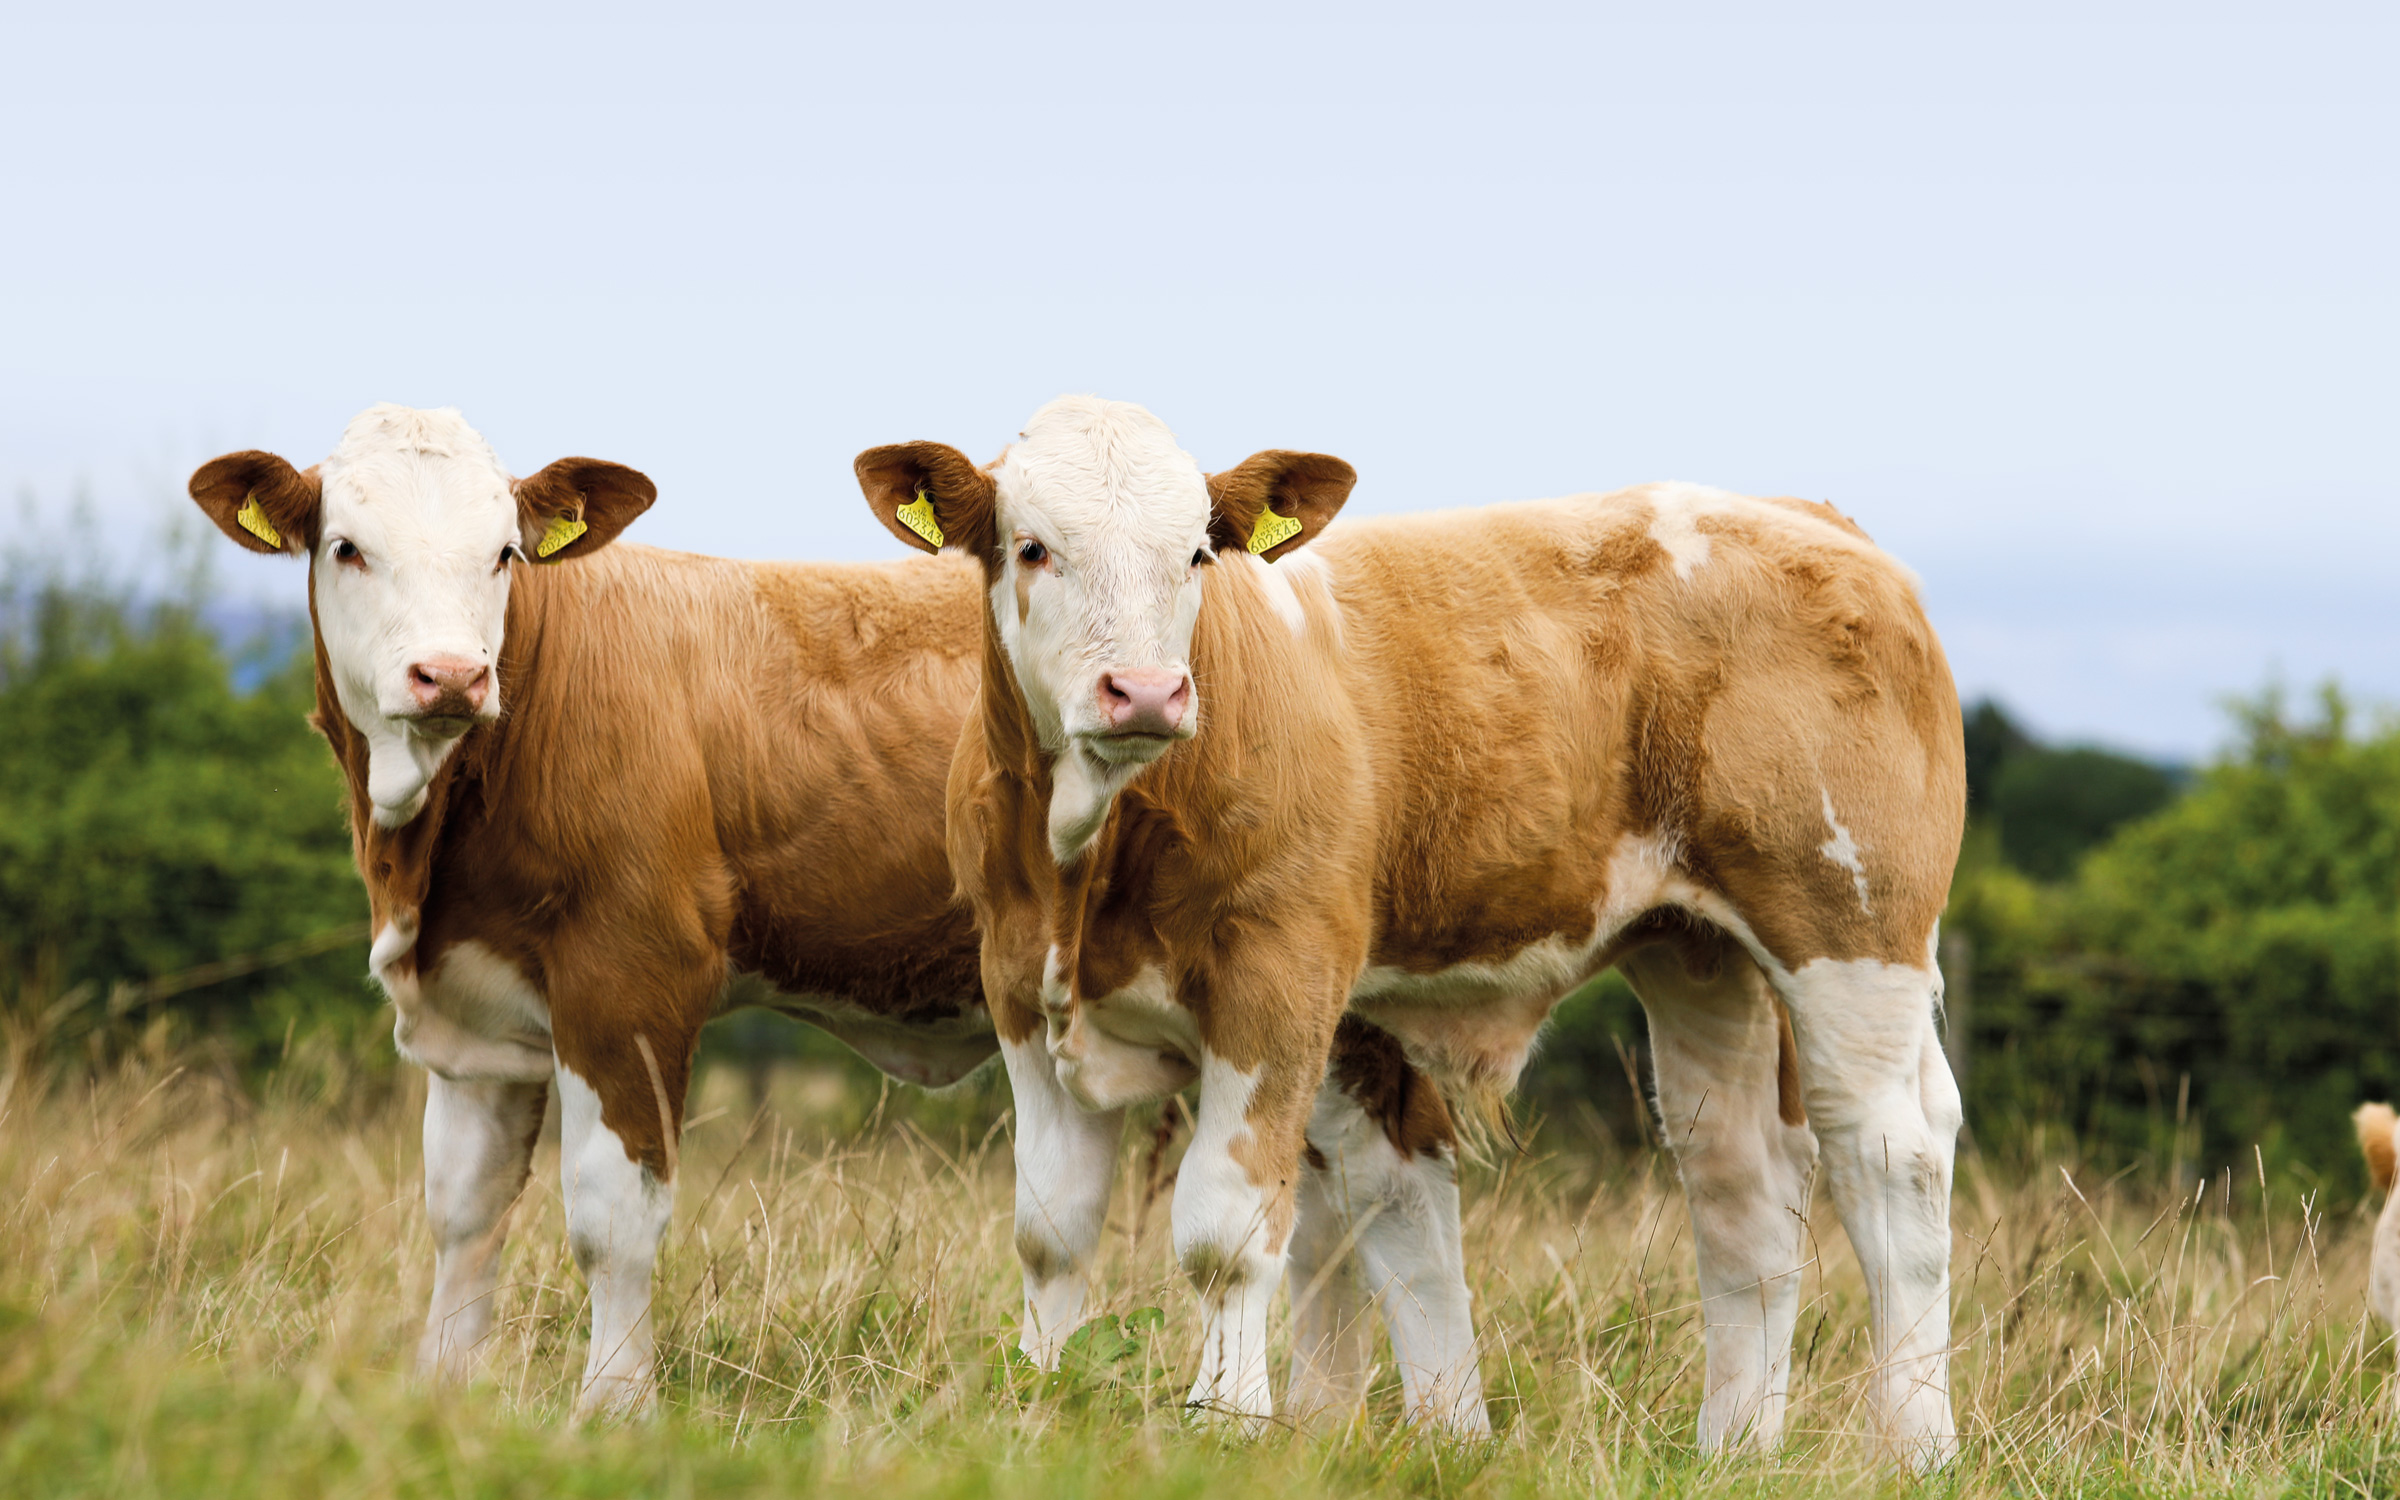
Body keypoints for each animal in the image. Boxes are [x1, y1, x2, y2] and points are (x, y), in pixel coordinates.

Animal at [186, 403, 1483, 1428]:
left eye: (503, 552)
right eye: (347, 547)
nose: (451, 675)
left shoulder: (629, 982)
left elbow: (611, 1218)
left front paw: (614, 1409)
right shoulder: (477, 1009)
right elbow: (462, 1219)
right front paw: (442, 1393)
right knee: (1360, 1208)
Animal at [858, 395, 1969, 1463]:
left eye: (1198, 554)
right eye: (1033, 547)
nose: (1144, 692)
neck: (1087, 854)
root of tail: (1808, 517)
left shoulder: (1278, 986)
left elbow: (1228, 1232)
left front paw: (1226, 1423)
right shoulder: (1020, 991)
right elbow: (1052, 1230)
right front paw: (1037, 1402)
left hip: (1849, 927)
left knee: (1891, 1163)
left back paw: (1915, 1450)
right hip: (1698, 954)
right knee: (1742, 1186)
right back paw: (1733, 1448)